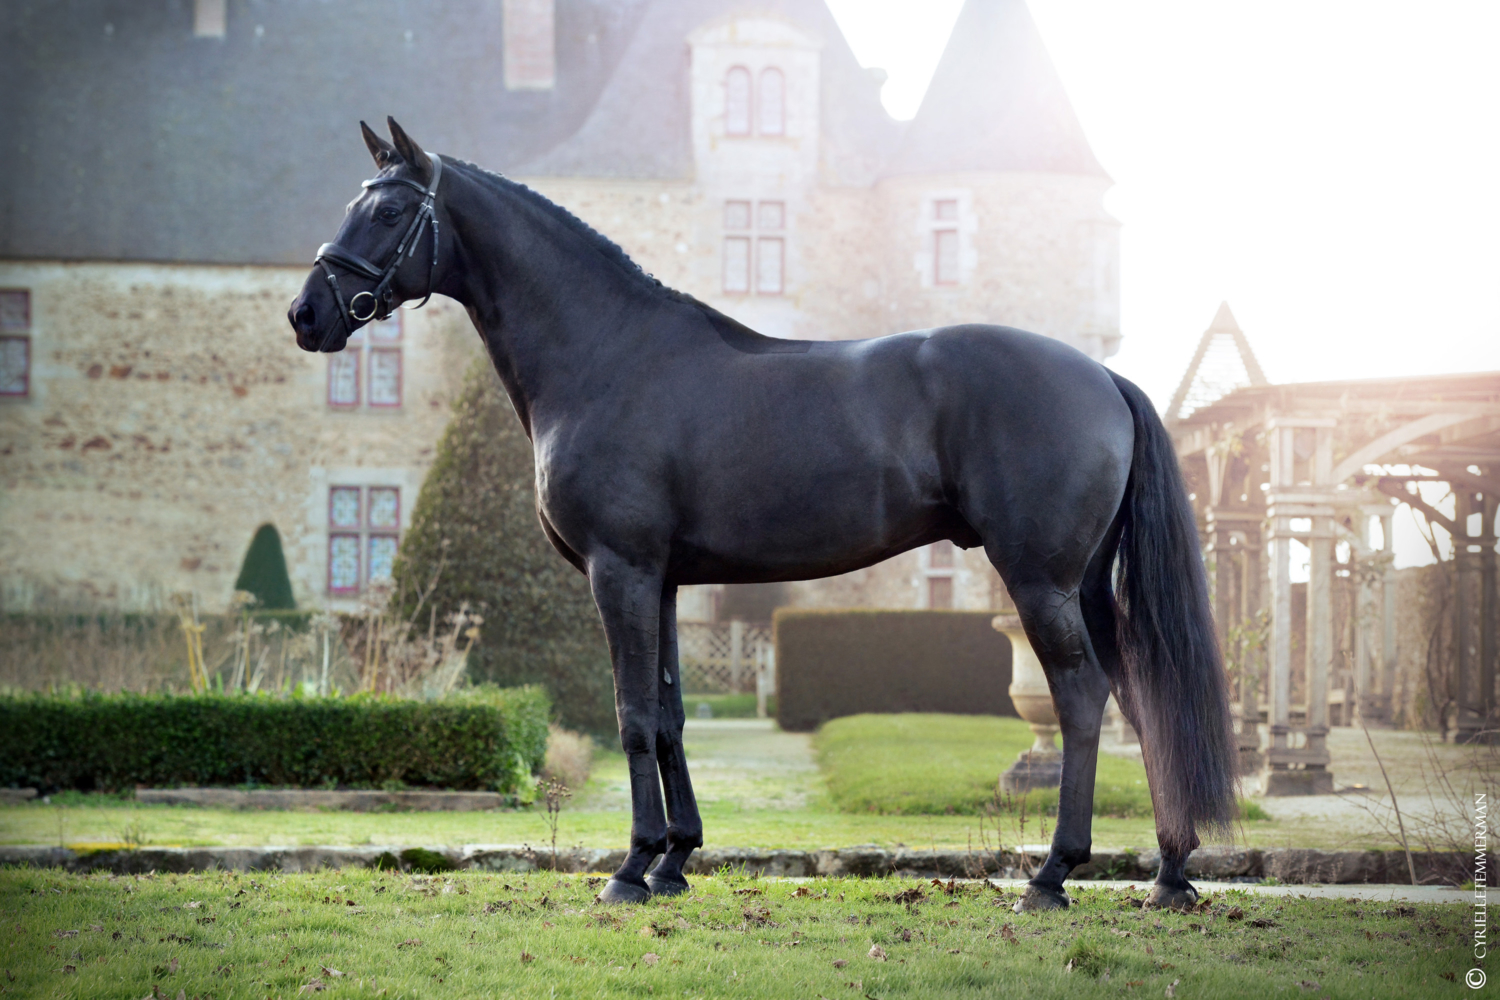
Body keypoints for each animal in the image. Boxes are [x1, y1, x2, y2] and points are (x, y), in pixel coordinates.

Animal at [289, 119, 1238, 912]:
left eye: (387, 210)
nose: (307, 314)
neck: (607, 355)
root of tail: (1102, 375)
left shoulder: (620, 571)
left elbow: (632, 714)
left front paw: (630, 869)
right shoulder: (666, 582)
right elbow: (670, 714)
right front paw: (676, 860)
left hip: (1040, 580)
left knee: (1080, 697)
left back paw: (1052, 875)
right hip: (1088, 584)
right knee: (1141, 697)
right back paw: (1169, 873)